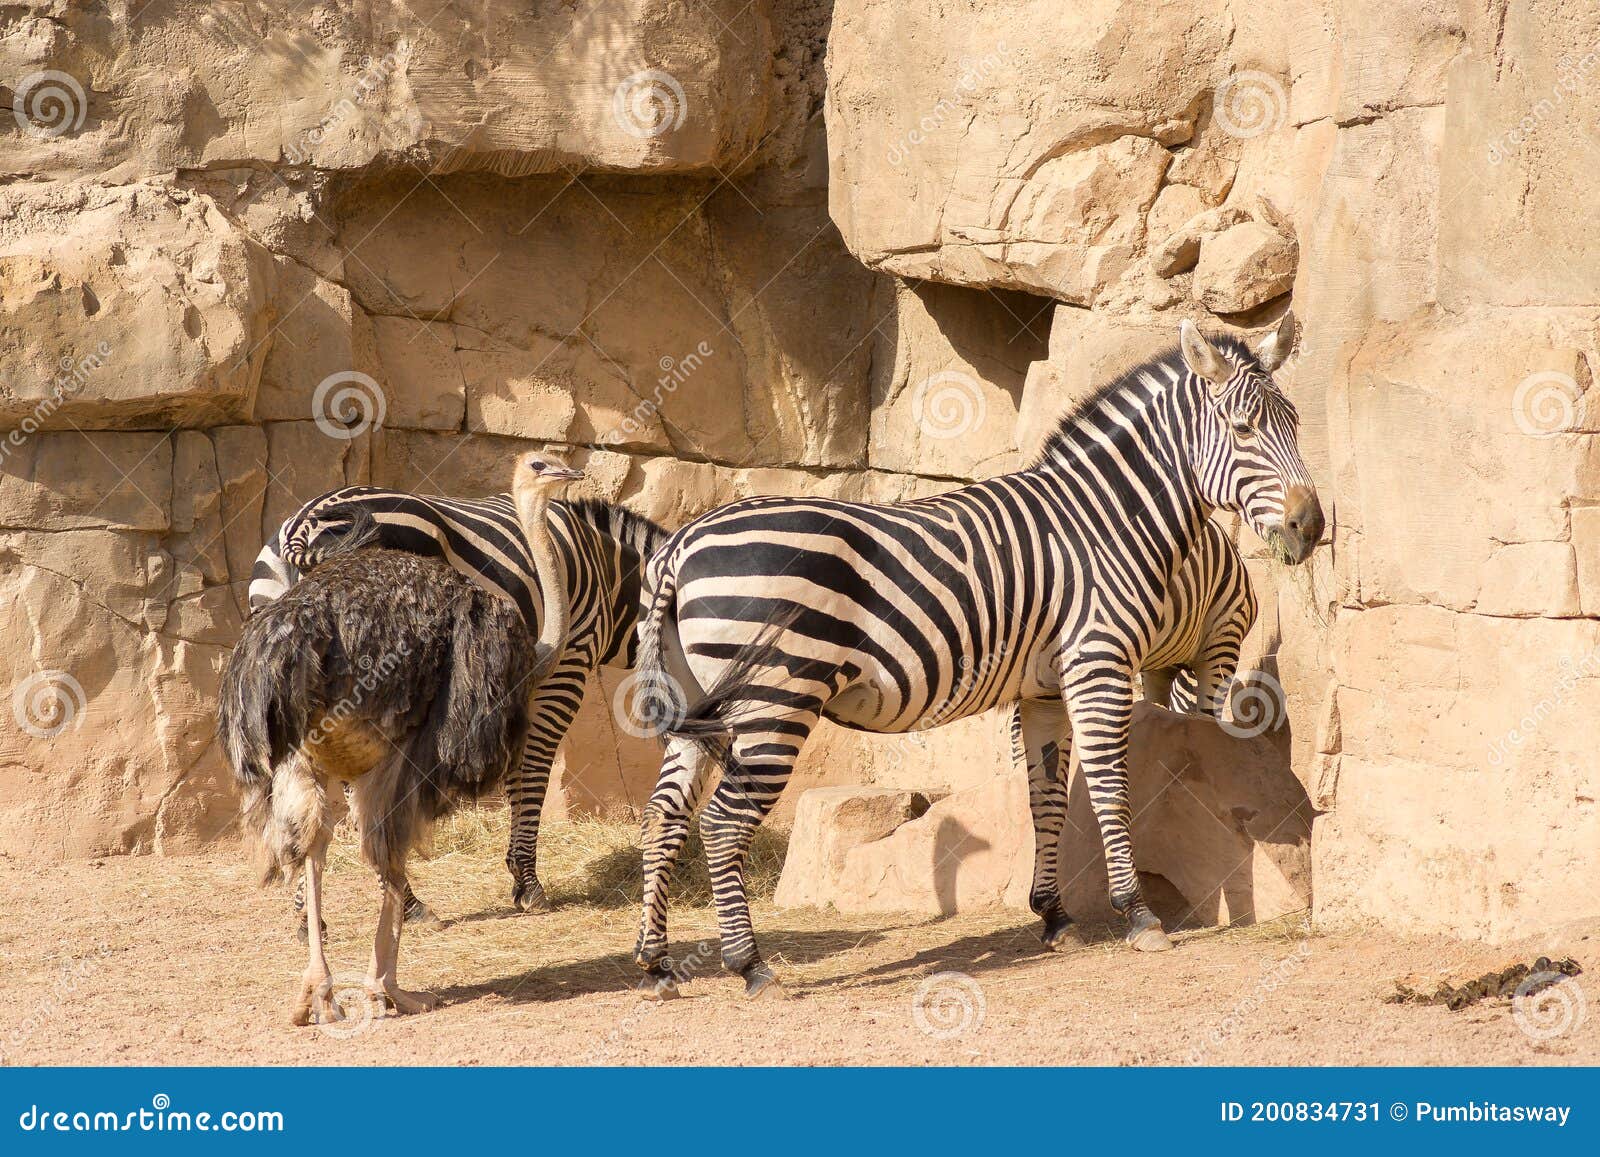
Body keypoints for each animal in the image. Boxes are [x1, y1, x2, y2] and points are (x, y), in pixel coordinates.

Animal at [249, 484, 668, 925]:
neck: (613, 581)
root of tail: (302, 524)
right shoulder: (566, 664)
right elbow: (533, 770)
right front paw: (527, 883)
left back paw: (307, 914)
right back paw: (406, 904)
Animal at [627, 312, 1320, 998]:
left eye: (1294, 422)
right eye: (1244, 429)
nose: (1311, 527)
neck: (1104, 522)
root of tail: (682, 545)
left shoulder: (1044, 690)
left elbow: (1047, 798)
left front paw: (1054, 916)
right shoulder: (1097, 663)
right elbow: (1109, 788)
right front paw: (1139, 914)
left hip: (700, 704)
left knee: (664, 817)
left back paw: (656, 965)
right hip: (774, 701)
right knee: (721, 822)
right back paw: (749, 965)